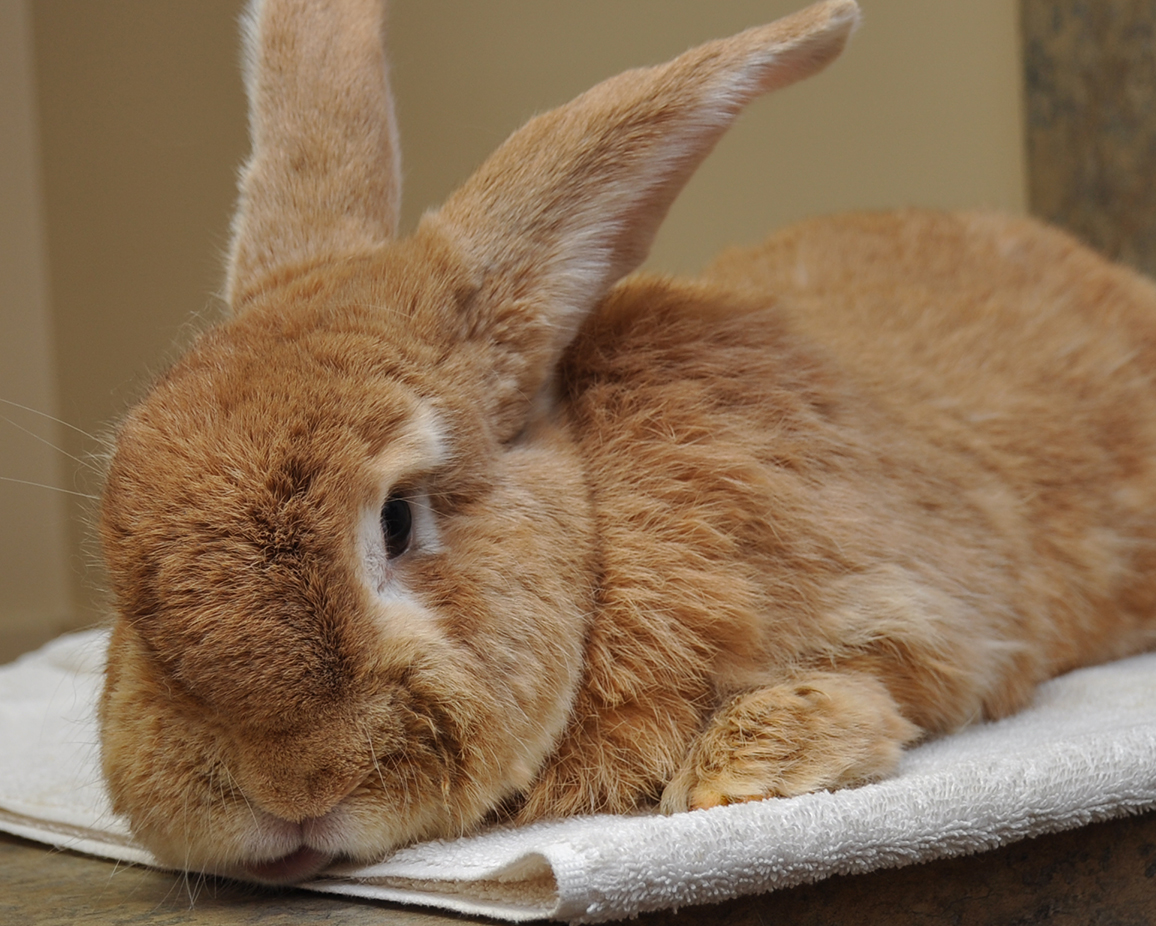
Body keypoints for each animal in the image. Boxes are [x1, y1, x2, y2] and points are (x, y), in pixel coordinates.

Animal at [97, 0, 1156, 887]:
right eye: (118, 540)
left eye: (396, 521)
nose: (286, 793)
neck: (601, 540)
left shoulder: (930, 616)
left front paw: (742, 775)